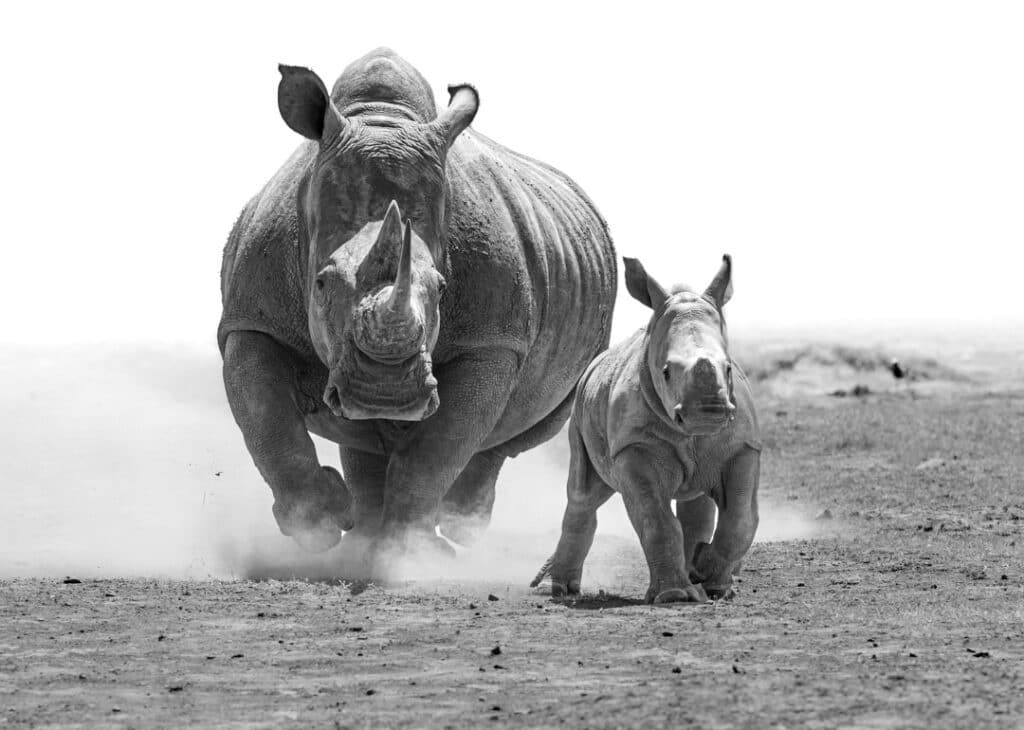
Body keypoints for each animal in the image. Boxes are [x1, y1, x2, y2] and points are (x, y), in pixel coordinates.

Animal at [219, 48, 617, 574]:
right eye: (321, 283)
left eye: (442, 289)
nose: (386, 394)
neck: (382, 120)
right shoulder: (252, 318)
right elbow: (264, 418)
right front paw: (321, 524)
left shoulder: (491, 339)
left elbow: (440, 447)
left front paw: (410, 555)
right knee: (360, 438)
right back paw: (361, 535)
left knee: (530, 427)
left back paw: (456, 526)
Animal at [531, 255, 760, 603]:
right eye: (665, 372)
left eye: (729, 368)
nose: (707, 412)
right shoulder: (633, 448)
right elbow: (655, 519)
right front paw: (675, 595)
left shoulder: (742, 447)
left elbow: (740, 518)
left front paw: (709, 579)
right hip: (580, 411)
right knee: (584, 494)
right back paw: (561, 591)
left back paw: (704, 577)